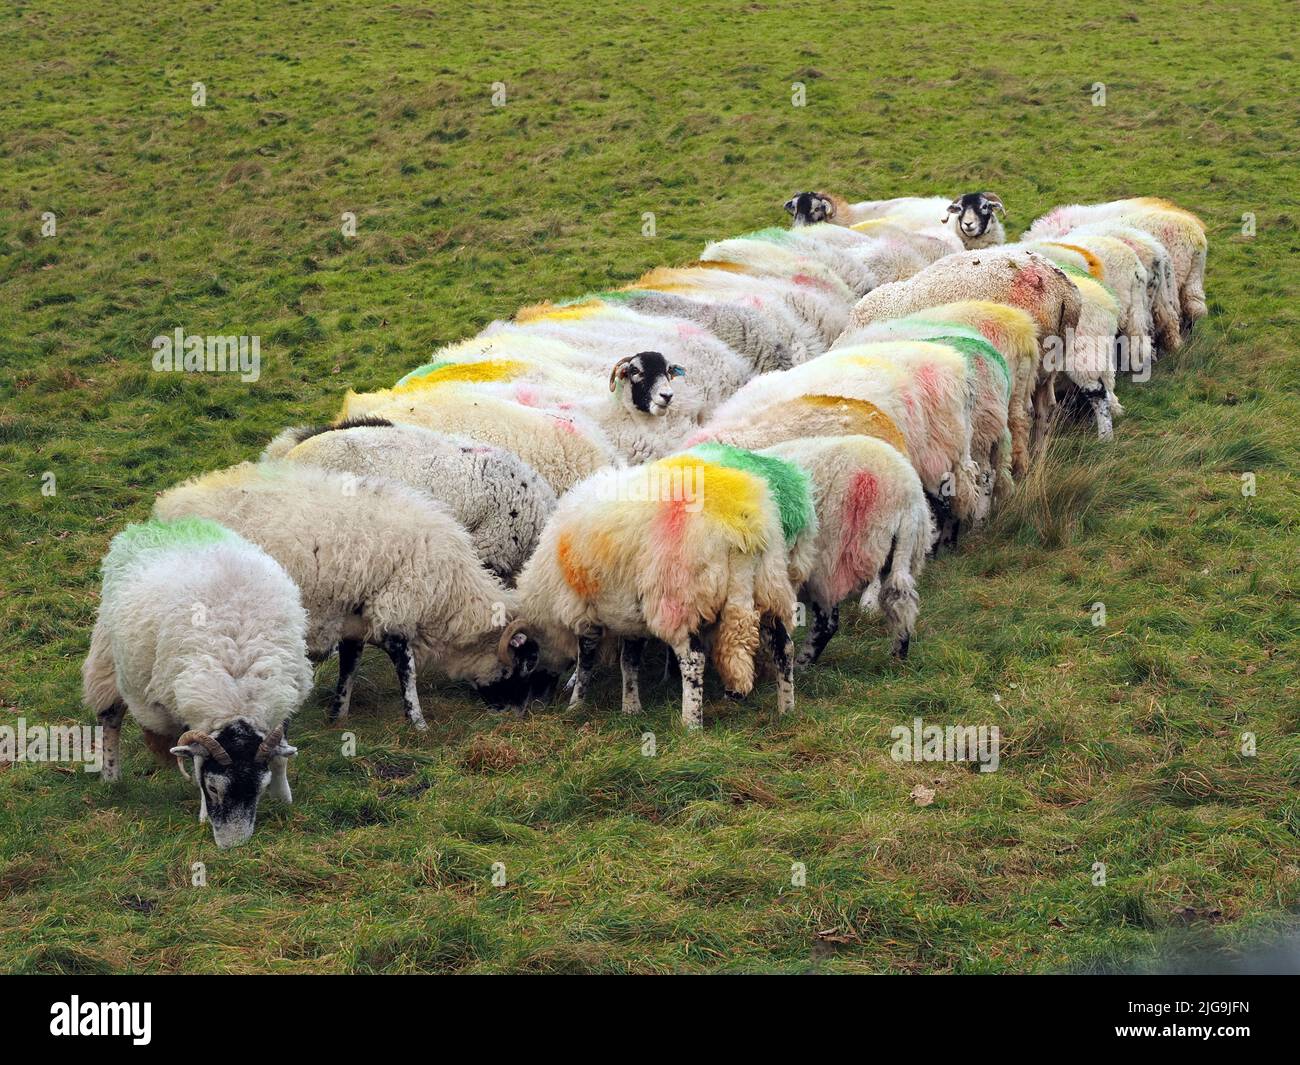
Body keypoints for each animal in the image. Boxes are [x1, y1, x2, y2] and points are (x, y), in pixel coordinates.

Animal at [82, 517, 312, 848]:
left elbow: (280, 755)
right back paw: (111, 777)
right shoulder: (185, 706)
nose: (232, 847)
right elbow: (196, 758)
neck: (237, 693)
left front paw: (283, 797)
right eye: (213, 788)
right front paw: (204, 813)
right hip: (108, 654)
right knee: (110, 717)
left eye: (259, 789)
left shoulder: (284, 703)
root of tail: (154, 524)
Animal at [154, 462, 543, 728]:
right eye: (523, 666)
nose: (518, 716)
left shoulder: (354, 616)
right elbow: (406, 668)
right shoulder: (394, 607)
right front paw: (417, 722)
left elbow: (350, 665)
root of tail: (169, 507)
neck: (447, 594)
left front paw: (337, 714)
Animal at [516, 452, 801, 728]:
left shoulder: (583, 611)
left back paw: (691, 723)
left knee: (694, 660)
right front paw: (631, 708)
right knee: (784, 648)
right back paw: (786, 708)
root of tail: (739, 524)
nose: (532, 705)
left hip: (681, 597)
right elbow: (628, 662)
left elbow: (585, 661)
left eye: (527, 660)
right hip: (769, 587)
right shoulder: (628, 613)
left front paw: (576, 705)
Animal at [758, 435, 934, 665]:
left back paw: (803, 663)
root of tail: (908, 498)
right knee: (901, 603)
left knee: (827, 623)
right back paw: (898, 659)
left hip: (828, 560)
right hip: (901, 554)